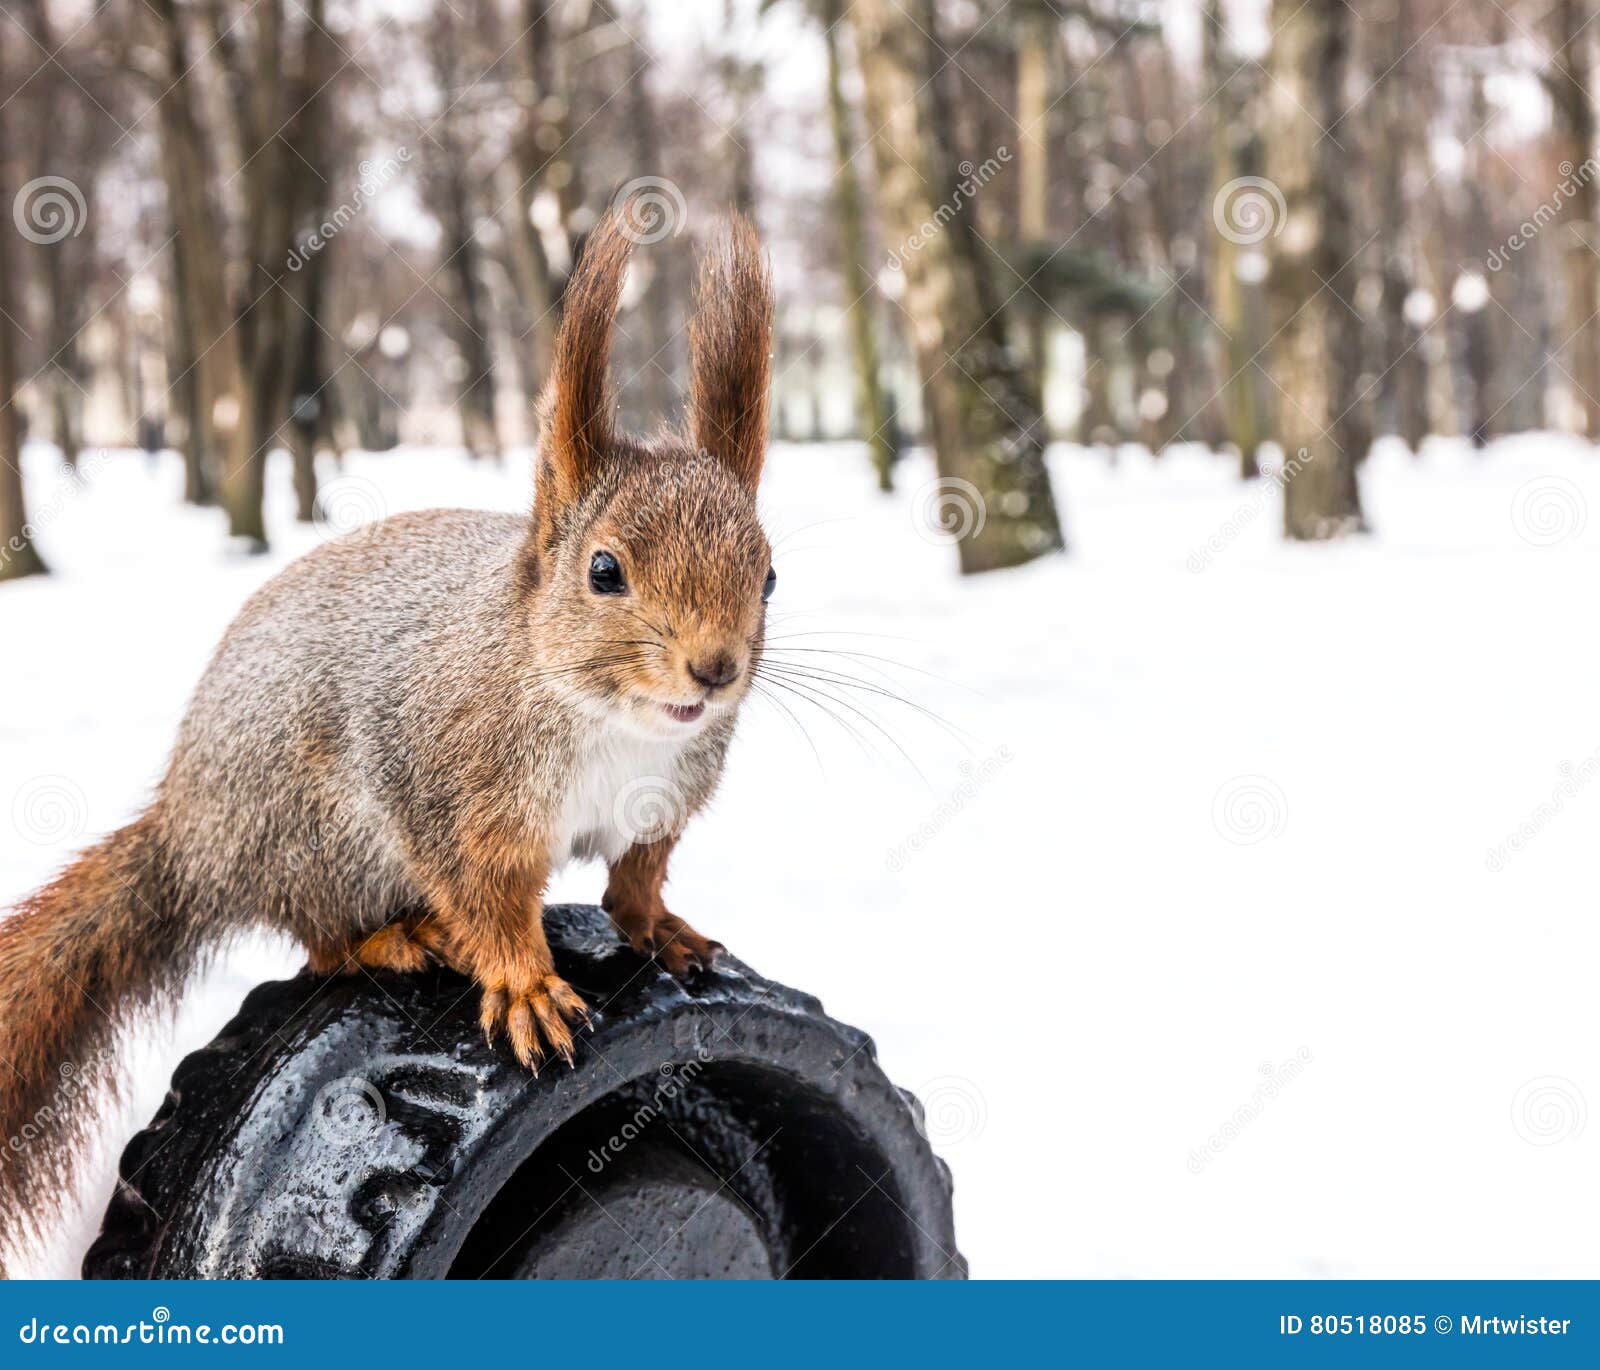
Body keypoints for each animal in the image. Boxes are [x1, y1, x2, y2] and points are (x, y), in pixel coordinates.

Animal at [0, 210, 776, 1272]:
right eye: (604, 570)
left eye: (770, 573)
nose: (715, 670)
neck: (604, 719)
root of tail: (190, 840)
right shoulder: (452, 793)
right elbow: (487, 897)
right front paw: (523, 982)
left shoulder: (663, 800)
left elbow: (636, 876)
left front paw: (660, 926)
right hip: (318, 838)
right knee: (326, 944)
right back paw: (403, 936)